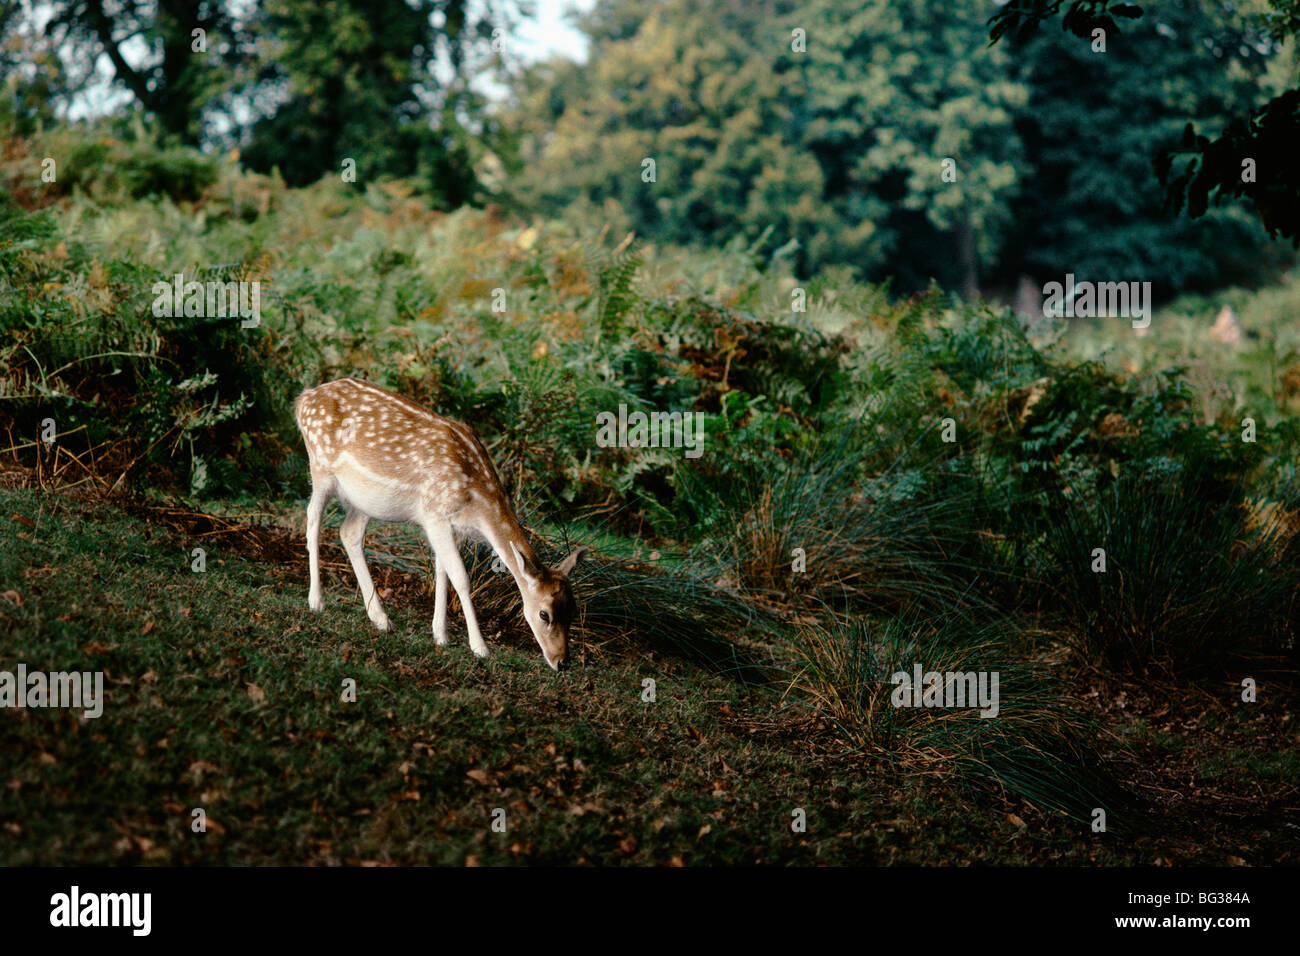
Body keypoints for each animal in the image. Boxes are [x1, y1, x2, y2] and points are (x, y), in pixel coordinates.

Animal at [293, 378, 589, 671]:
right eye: (544, 614)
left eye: (573, 610)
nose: (562, 661)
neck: (477, 503)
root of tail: (303, 399)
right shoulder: (435, 514)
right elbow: (460, 577)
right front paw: (480, 648)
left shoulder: (448, 526)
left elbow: (442, 572)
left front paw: (440, 635)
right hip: (320, 466)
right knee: (312, 519)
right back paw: (316, 600)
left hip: (364, 500)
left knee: (349, 533)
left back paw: (380, 618)